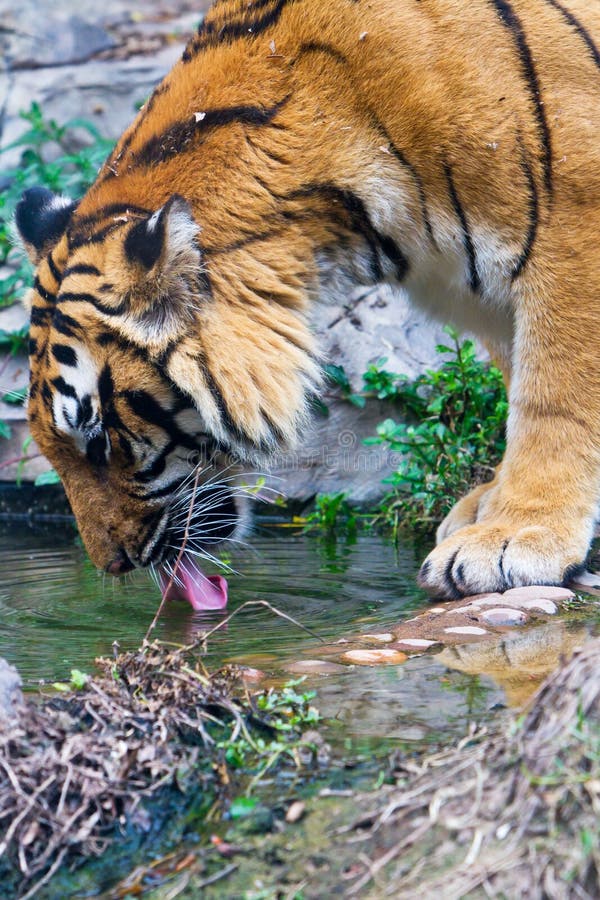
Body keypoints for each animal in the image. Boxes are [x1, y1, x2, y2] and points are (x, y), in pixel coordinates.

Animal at [14, 0, 600, 603]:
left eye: (100, 441)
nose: (112, 565)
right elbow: (519, 375)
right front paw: (490, 504)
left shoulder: (572, 222)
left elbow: (554, 395)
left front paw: (514, 535)